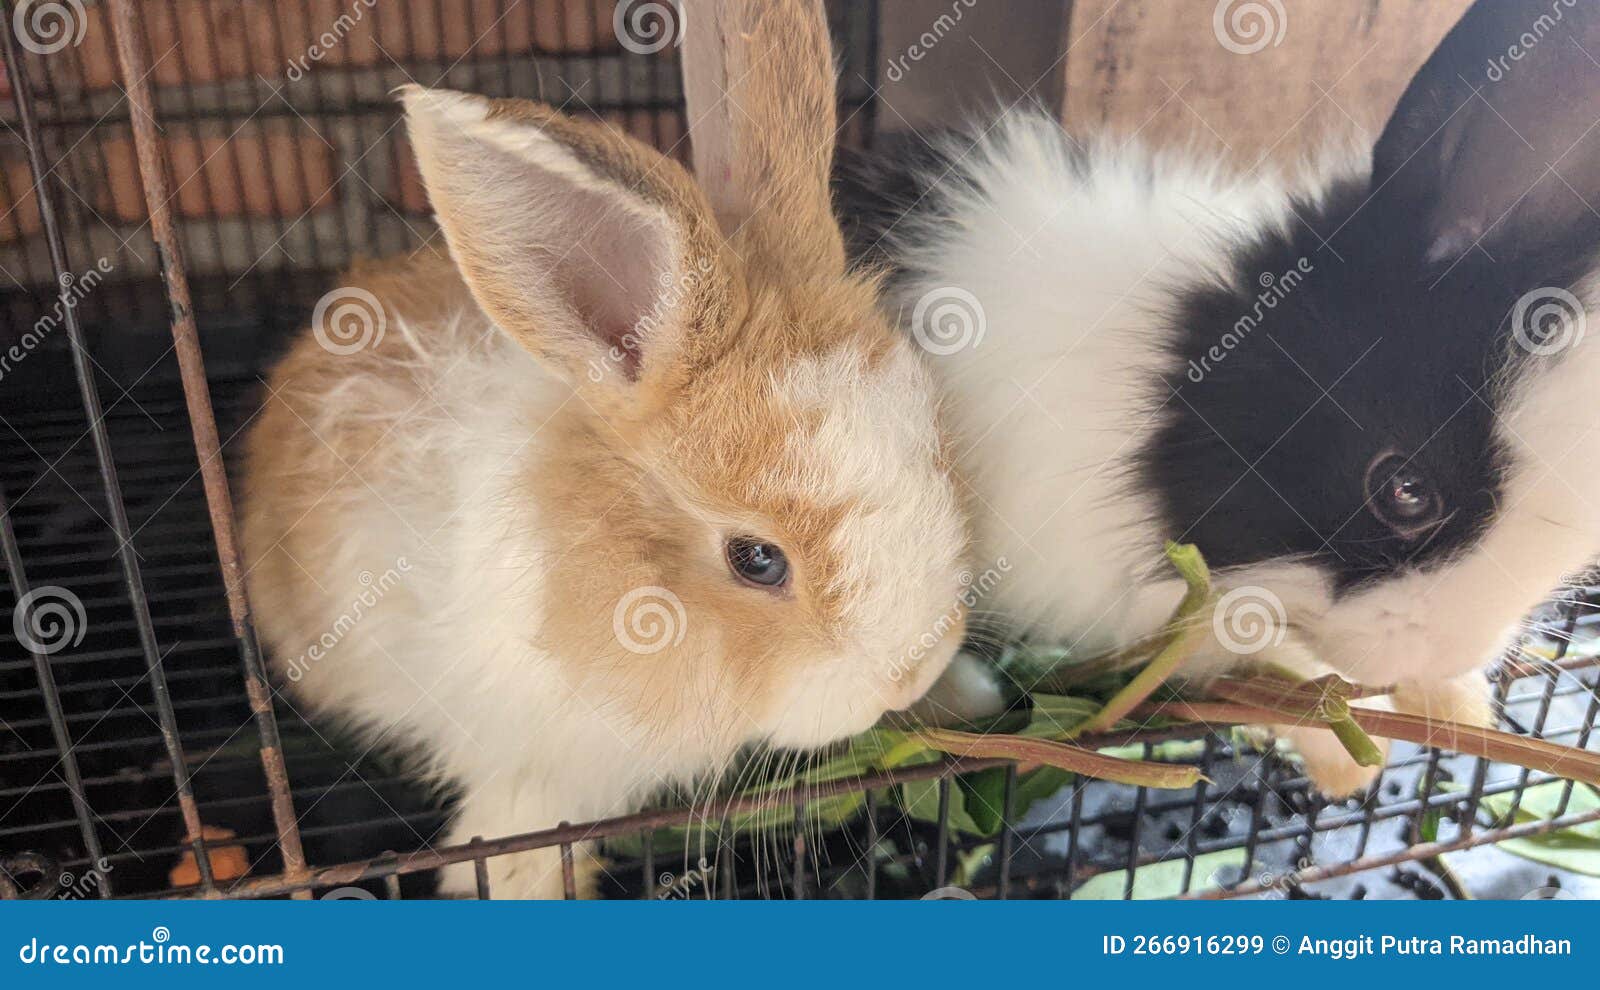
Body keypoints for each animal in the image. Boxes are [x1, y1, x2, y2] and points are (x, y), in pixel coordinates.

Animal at [833, 0, 1600, 796]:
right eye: (1406, 490)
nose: (1447, 653)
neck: (1171, 372)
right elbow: (1264, 658)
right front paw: (1349, 761)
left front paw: (1459, 705)